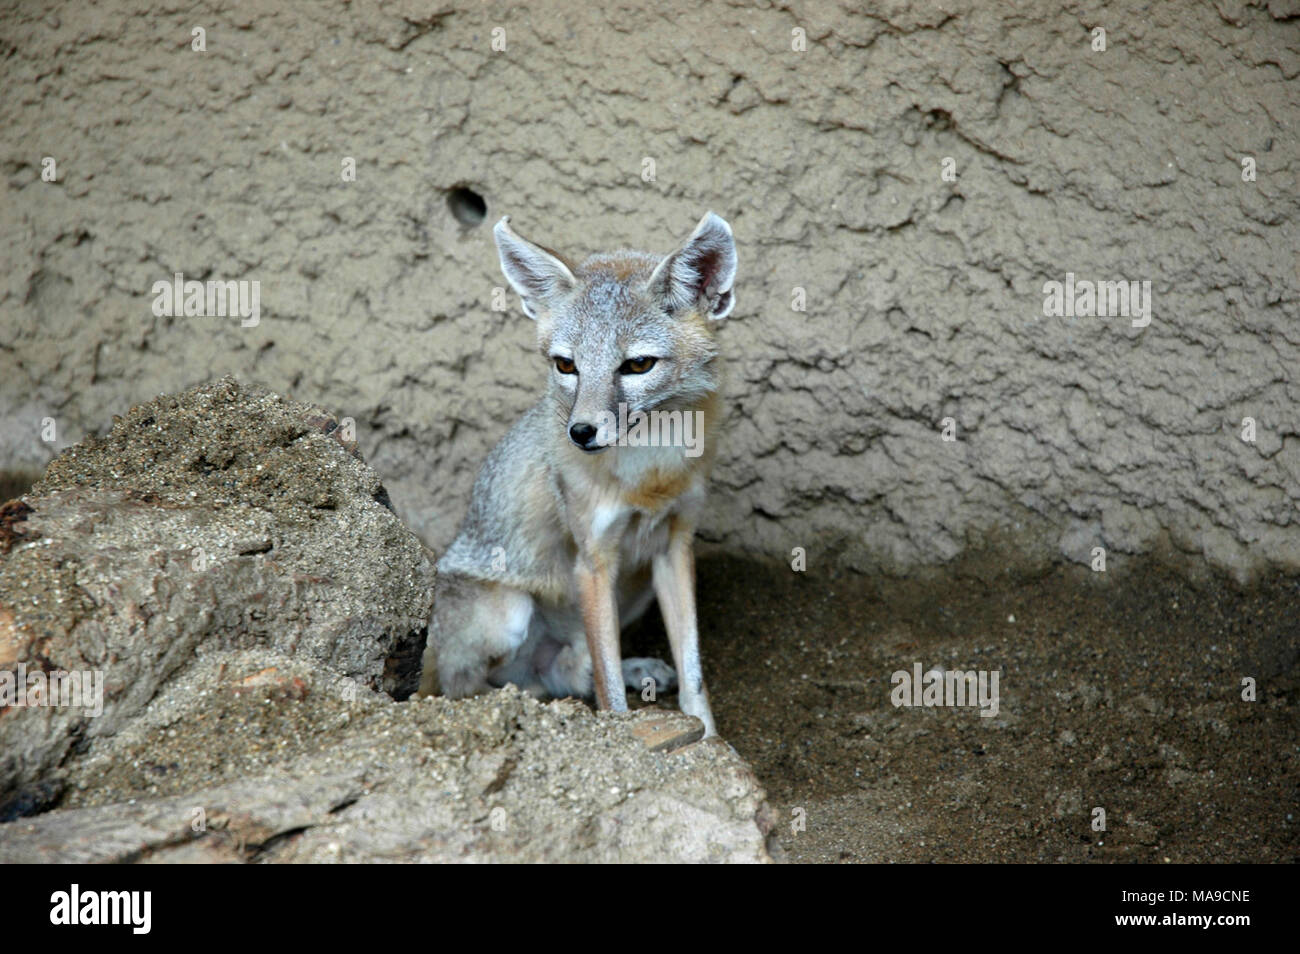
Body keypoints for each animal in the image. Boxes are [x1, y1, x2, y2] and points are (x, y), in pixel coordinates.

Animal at [416, 211, 738, 737]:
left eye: (638, 365)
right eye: (566, 365)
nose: (581, 432)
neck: (650, 469)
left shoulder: (675, 544)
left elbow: (693, 673)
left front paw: (709, 739)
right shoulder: (593, 559)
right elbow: (608, 687)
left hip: (635, 588)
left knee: (566, 670)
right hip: (510, 612)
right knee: (469, 689)